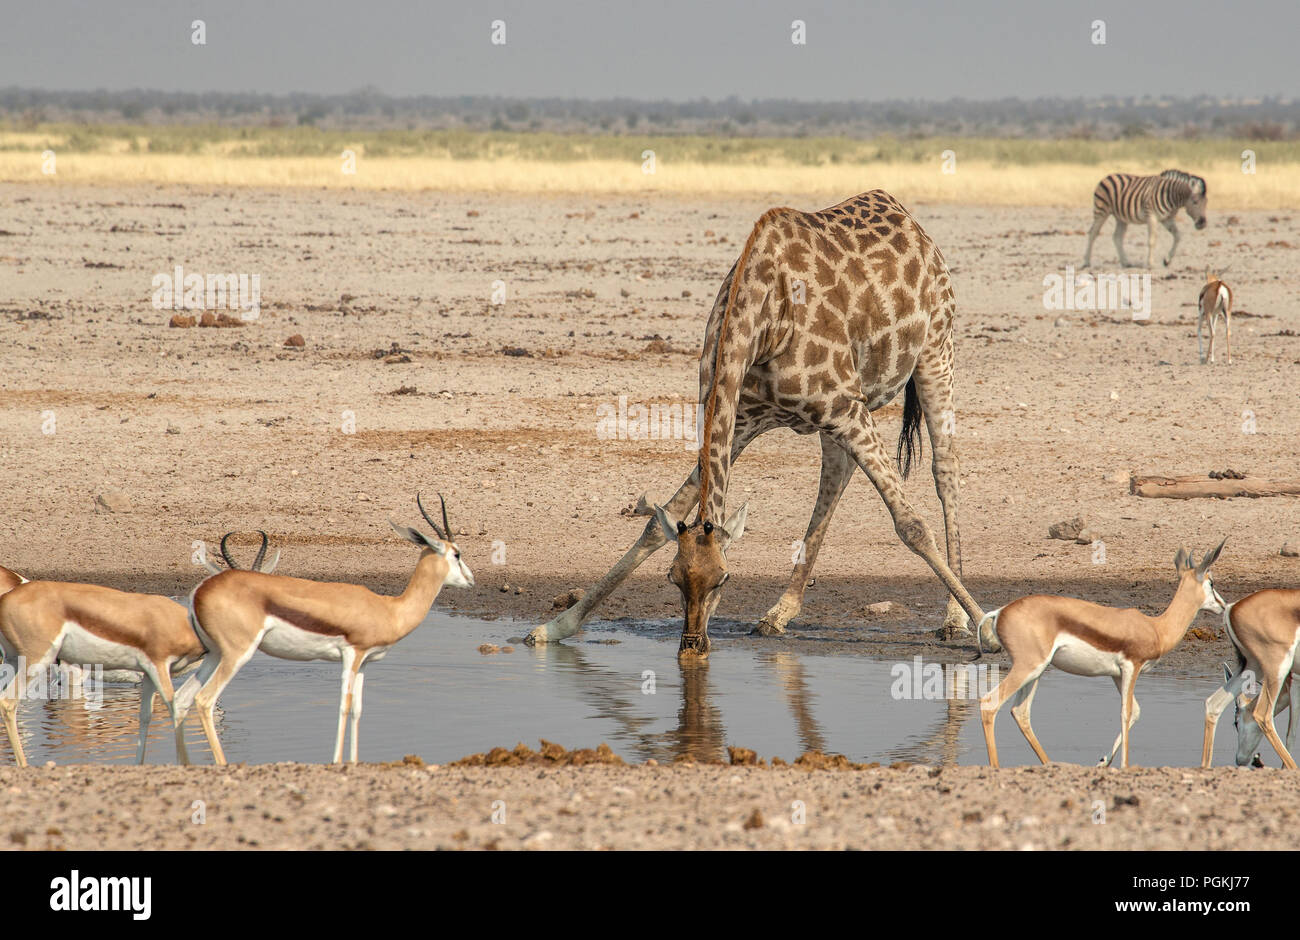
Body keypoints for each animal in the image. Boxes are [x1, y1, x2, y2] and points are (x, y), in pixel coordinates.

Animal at [525, 190, 984, 657]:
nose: (692, 646)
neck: (765, 321)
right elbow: (659, 522)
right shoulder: (744, 419)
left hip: (934, 353)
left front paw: (985, 627)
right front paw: (554, 627)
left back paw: (954, 618)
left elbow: (911, 525)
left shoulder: (844, 408)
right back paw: (779, 612)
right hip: (846, 409)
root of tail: (908, 219)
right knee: (836, 474)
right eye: (674, 579)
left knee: (945, 470)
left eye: (724, 579)